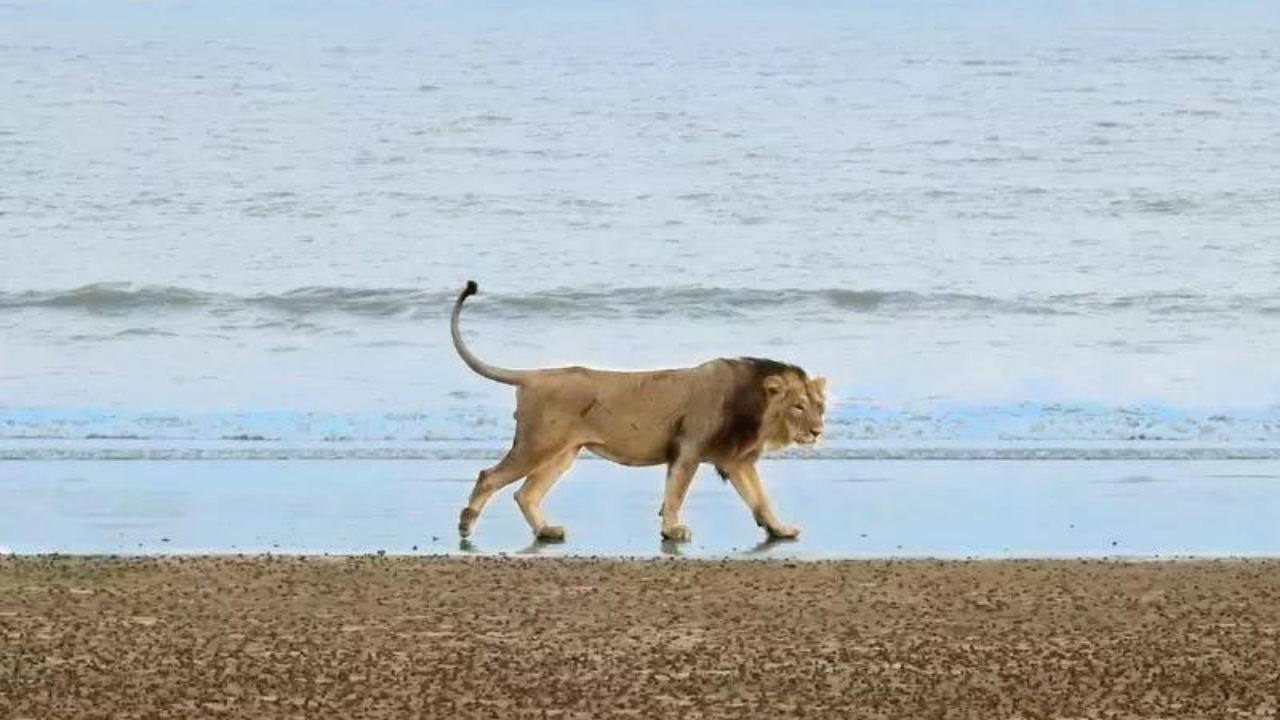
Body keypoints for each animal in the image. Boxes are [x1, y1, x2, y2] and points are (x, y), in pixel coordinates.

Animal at [451, 280, 827, 543]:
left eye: (819, 407)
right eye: (798, 406)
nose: (817, 431)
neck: (755, 406)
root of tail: (533, 375)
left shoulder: (737, 462)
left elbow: (760, 499)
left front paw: (779, 529)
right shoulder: (688, 449)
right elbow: (675, 493)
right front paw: (672, 531)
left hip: (563, 452)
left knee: (525, 493)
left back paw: (545, 531)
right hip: (537, 444)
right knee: (489, 476)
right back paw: (466, 524)